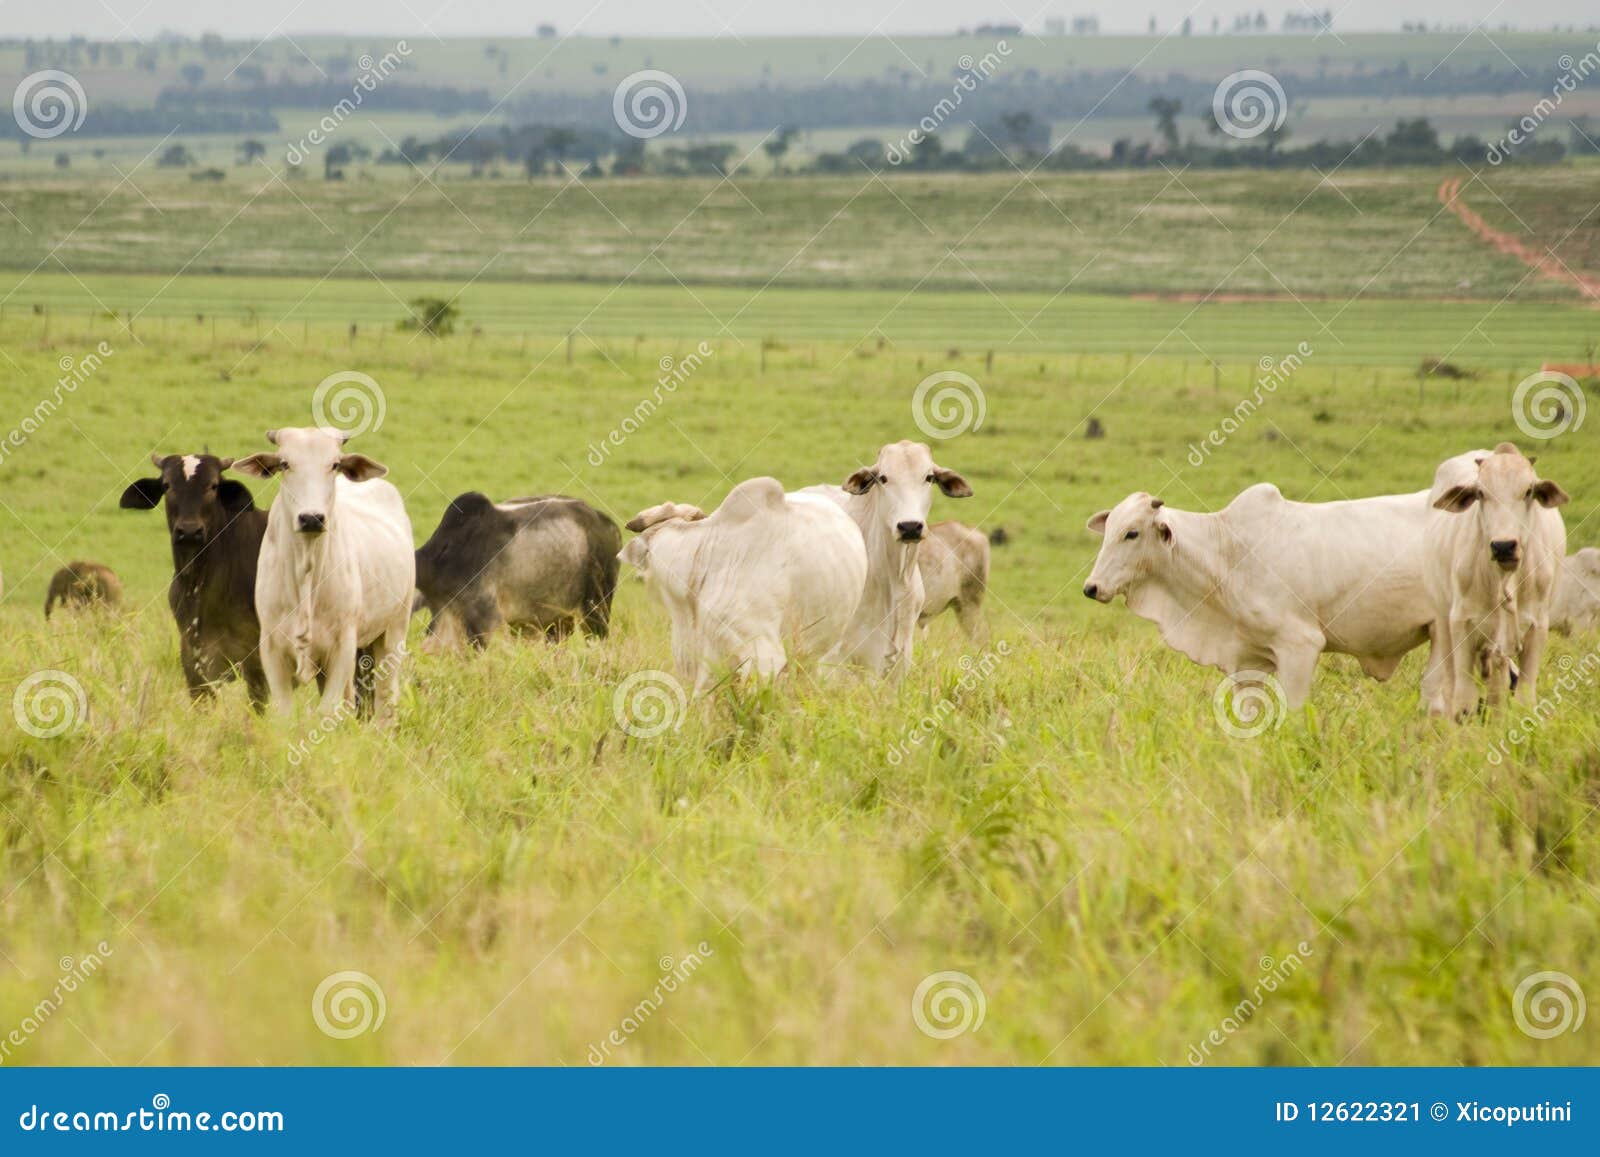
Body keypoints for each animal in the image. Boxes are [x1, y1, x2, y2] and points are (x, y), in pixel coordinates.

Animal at [231, 427, 414, 723]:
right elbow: (285, 713)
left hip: (394, 629)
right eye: (285, 464)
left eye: (335, 464)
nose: (311, 518)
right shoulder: (271, 648)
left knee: (386, 698)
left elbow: (326, 711)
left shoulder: (342, 647)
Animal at [1083, 479, 1449, 709]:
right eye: (1109, 530)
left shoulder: (1300, 646)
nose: (1091, 587)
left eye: (1131, 533)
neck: (1226, 554)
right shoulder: (1246, 661)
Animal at [1423, 443, 1568, 719]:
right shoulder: (1461, 622)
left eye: (1529, 491)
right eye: (1480, 493)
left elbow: (1524, 699)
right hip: (1443, 622)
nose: (1503, 546)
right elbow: (1463, 700)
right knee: (1451, 685)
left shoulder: (1537, 626)